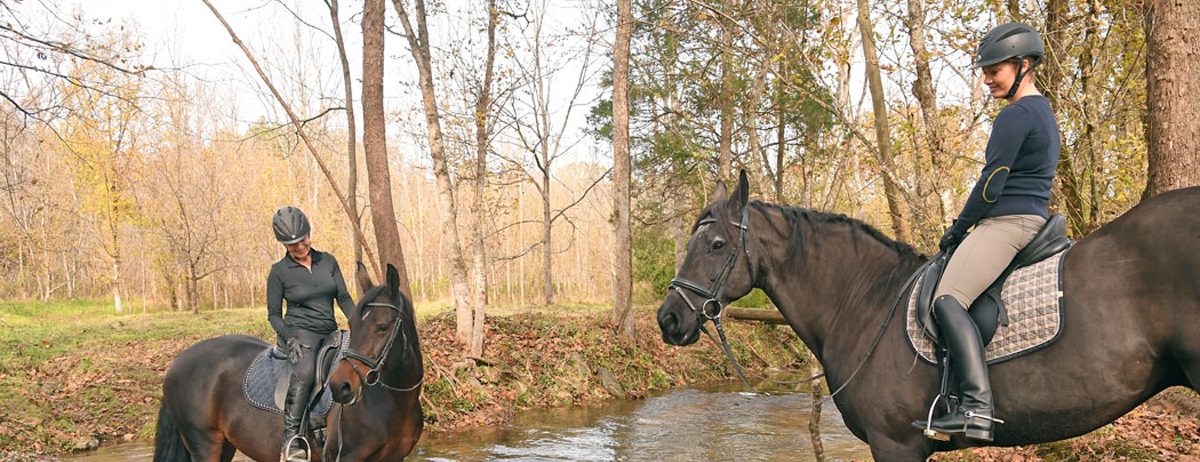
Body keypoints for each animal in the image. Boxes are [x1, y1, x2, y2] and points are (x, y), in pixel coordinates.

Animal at [153, 263, 423, 461]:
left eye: (383, 327)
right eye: (354, 325)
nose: (341, 387)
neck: (393, 402)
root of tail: (177, 362)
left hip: (225, 446)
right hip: (204, 444)